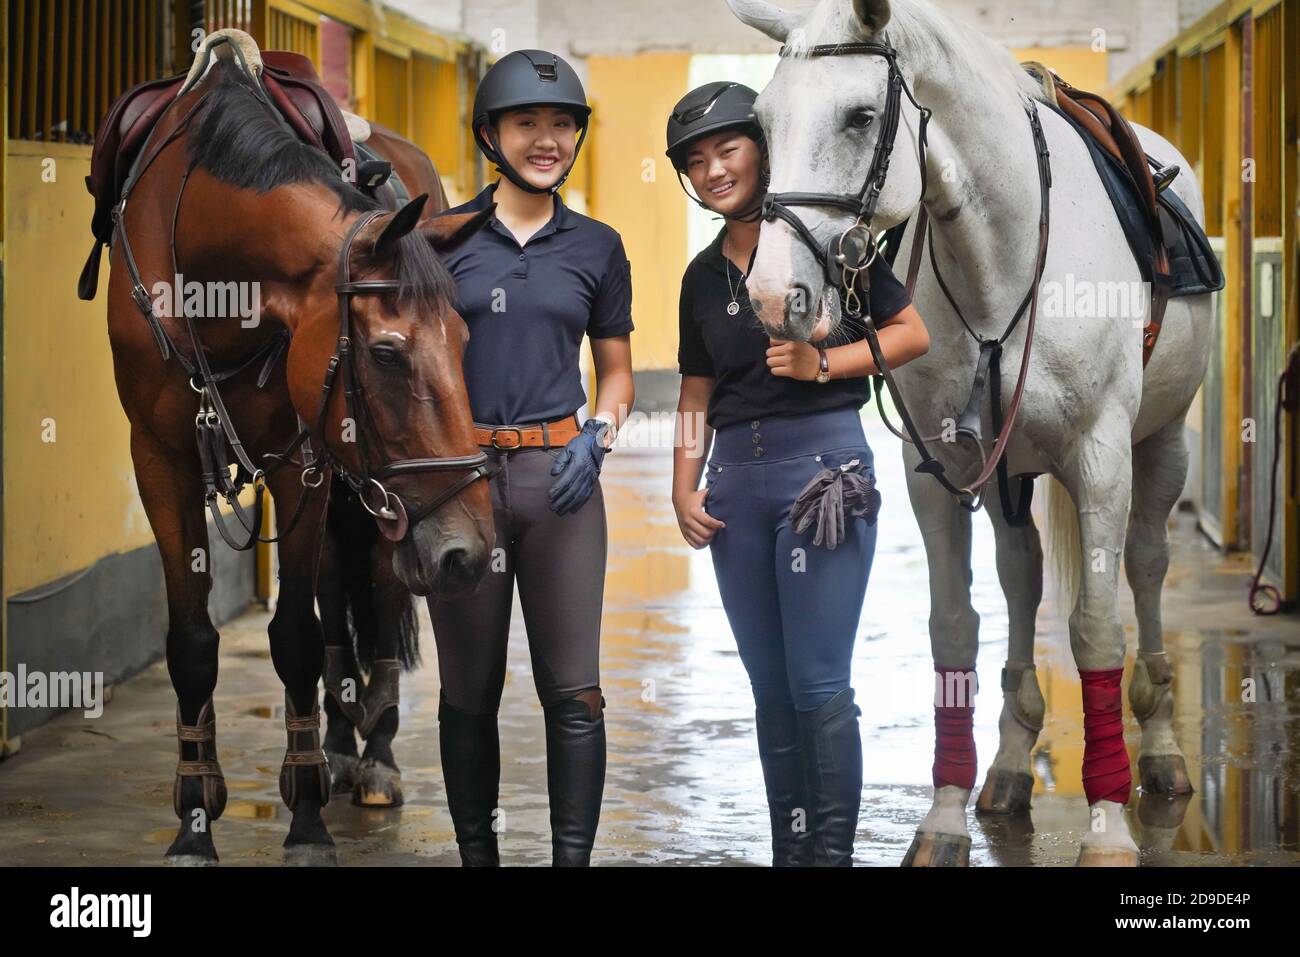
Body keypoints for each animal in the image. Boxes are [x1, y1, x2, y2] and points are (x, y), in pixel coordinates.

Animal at [104, 55, 495, 864]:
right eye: (386, 352)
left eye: (466, 342)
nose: (470, 552)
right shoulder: (157, 458)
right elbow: (195, 642)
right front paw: (194, 820)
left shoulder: (303, 459)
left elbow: (295, 637)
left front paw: (308, 818)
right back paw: (342, 747)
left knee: (376, 594)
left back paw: (372, 758)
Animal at [726, 0, 1209, 865]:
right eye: (766, 122)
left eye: (860, 116)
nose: (777, 295)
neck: (1003, 260)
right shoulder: (938, 465)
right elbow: (953, 627)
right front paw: (946, 816)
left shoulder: (1100, 457)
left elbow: (1096, 628)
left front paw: (1106, 823)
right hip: (1010, 468)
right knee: (1021, 576)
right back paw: (1013, 766)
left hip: (1161, 445)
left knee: (1147, 568)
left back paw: (1158, 748)